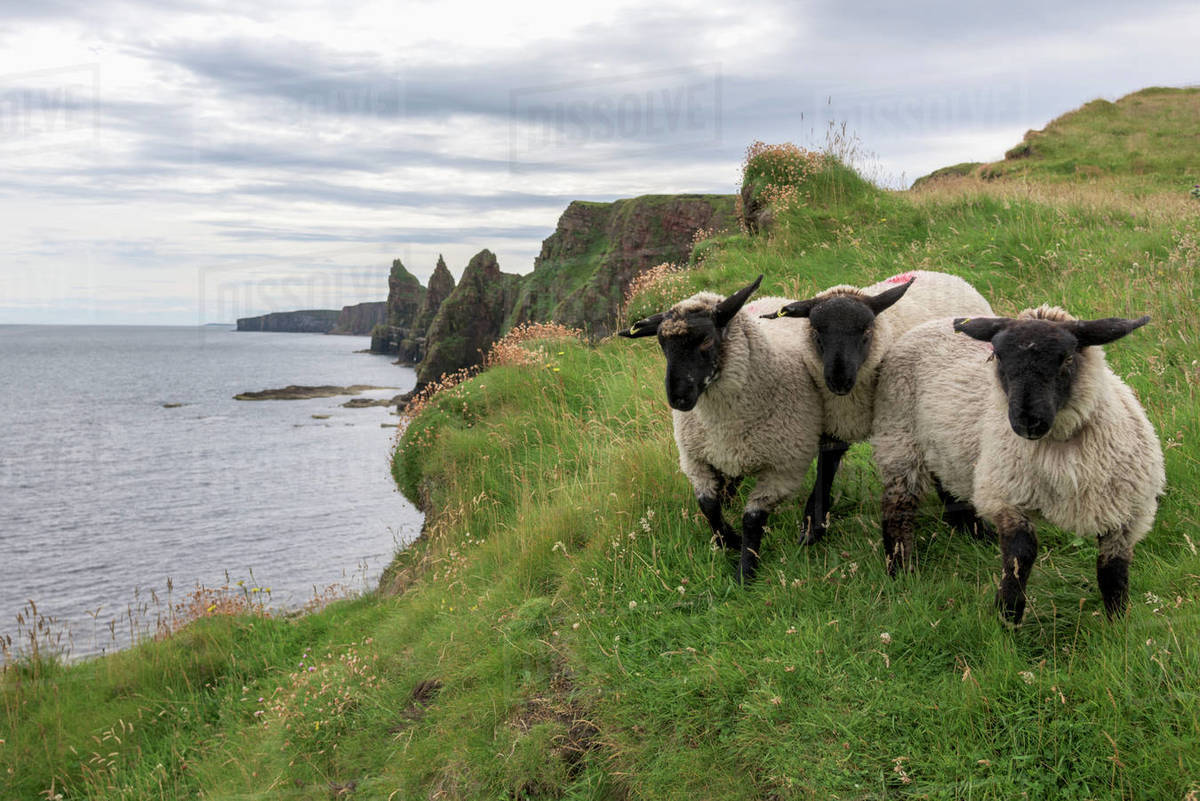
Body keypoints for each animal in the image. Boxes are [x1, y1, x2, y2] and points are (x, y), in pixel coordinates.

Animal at [620, 275, 824, 582]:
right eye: (662, 345)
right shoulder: (694, 458)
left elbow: (752, 519)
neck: (723, 422)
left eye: (706, 339)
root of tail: (774, 299)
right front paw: (728, 540)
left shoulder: (784, 470)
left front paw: (745, 570)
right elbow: (708, 506)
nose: (678, 398)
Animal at [765, 270, 996, 541]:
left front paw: (970, 524)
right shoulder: (833, 421)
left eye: (866, 332)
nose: (839, 381)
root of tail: (942, 274)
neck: (850, 400)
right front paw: (812, 527)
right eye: (817, 334)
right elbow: (826, 468)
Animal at [870, 305, 1165, 623]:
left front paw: (1118, 622)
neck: (1060, 451)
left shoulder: (1128, 514)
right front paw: (1008, 616)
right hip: (899, 440)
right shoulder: (1007, 495)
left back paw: (975, 534)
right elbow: (1020, 556)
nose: (1027, 421)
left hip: (945, 448)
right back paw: (900, 569)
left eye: (1067, 358)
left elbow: (1113, 572)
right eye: (998, 356)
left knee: (949, 487)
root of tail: (927, 325)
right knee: (898, 508)